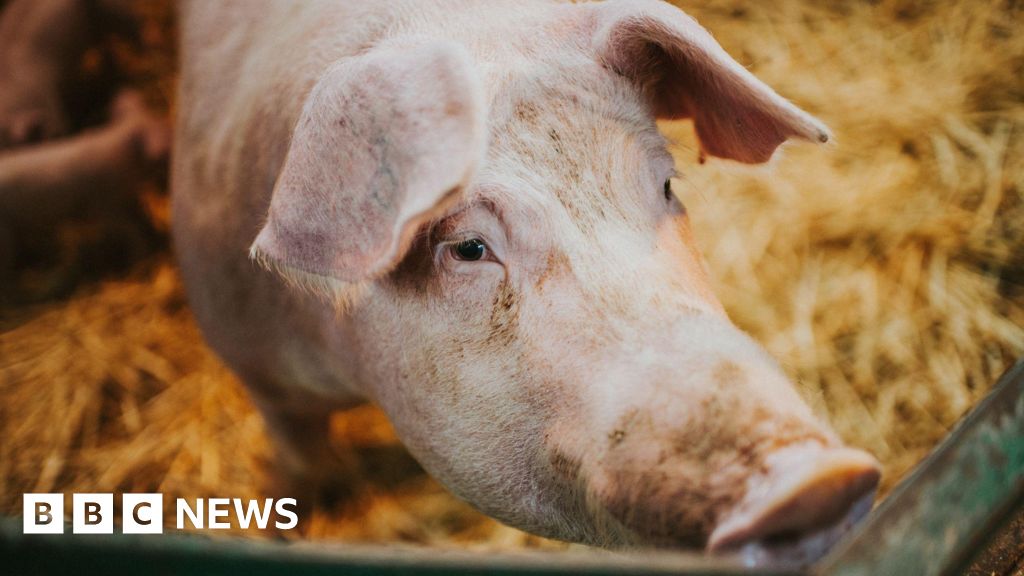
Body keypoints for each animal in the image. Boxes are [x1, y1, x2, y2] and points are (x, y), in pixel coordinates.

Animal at [0, 0, 881, 561]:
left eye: (666, 185)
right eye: (466, 247)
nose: (818, 481)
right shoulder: (248, 354)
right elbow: (299, 458)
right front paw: (291, 519)